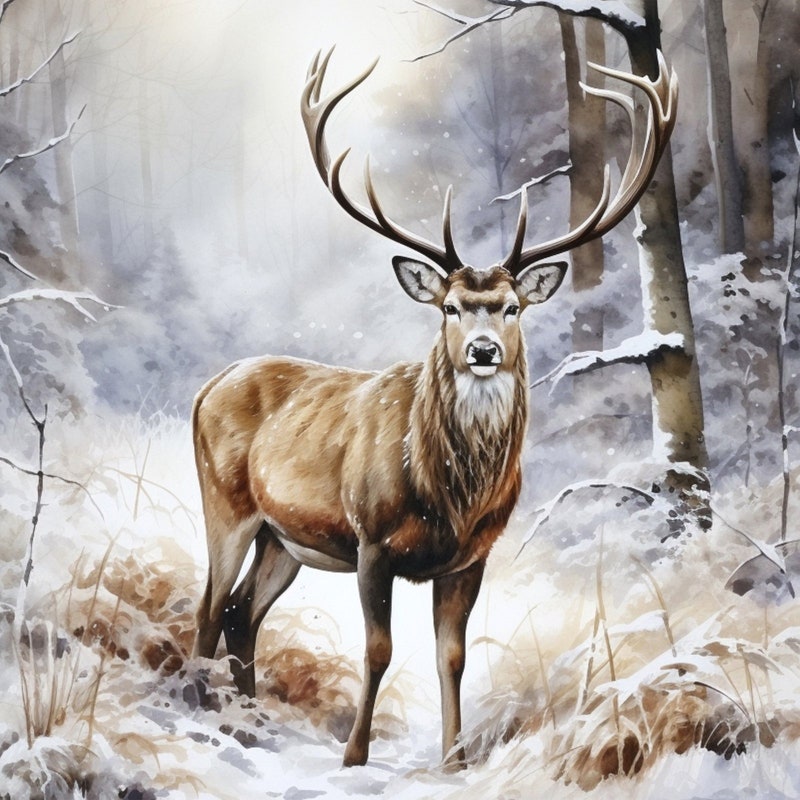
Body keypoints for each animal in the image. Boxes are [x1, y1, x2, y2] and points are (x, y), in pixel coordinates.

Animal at [191, 47, 677, 767]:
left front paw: (455, 758)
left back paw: (246, 723)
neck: (450, 493)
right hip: (226, 502)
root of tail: (207, 386)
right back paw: (200, 715)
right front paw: (355, 755)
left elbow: (453, 657)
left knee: (241, 612)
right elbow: (379, 648)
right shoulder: (370, 538)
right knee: (208, 607)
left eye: (511, 307)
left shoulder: (473, 556)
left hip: (286, 537)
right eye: (449, 306)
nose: (481, 350)